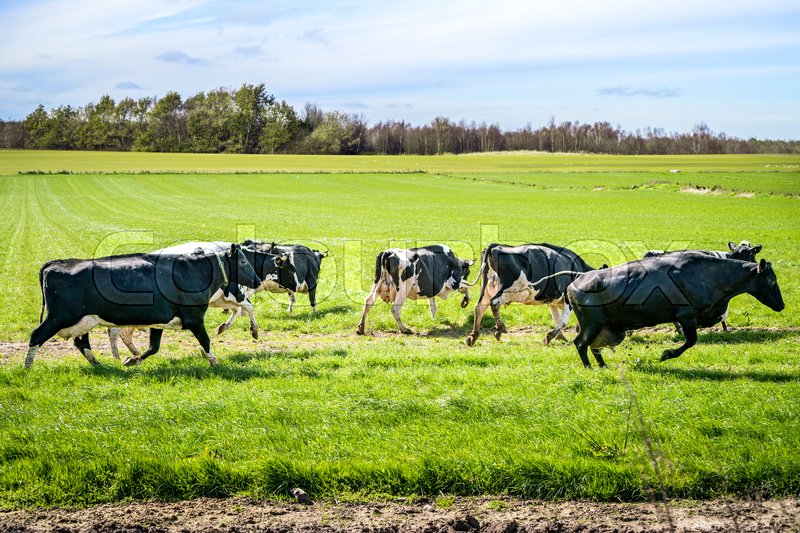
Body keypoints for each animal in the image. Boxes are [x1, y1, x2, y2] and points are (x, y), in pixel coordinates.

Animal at [26, 244, 262, 368]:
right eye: (243, 261)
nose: (258, 280)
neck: (195, 270)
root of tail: (58, 262)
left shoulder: (159, 322)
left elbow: (153, 347)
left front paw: (133, 359)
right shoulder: (194, 318)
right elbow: (205, 341)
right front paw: (214, 361)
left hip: (83, 320)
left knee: (81, 342)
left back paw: (100, 366)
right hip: (60, 316)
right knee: (37, 336)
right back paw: (27, 368)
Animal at [107, 241, 292, 359]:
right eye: (290, 269)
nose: (296, 287)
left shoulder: (222, 298)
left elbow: (236, 310)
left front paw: (223, 327)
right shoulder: (235, 293)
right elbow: (249, 307)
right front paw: (254, 330)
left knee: (123, 332)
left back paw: (132, 354)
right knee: (115, 331)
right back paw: (117, 357)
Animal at [465, 243, 600, 347]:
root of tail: (495, 246)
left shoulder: (552, 301)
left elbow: (557, 319)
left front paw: (560, 337)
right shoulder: (567, 300)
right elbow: (563, 322)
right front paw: (549, 337)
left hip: (486, 289)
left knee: (479, 307)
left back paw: (473, 337)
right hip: (509, 290)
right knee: (494, 303)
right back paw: (499, 329)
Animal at [567, 252, 784, 368]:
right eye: (772, 280)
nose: (782, 305)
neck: (712, 276)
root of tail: (578, 280)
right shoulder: (686, 317)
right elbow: (690, 341)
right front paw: (667, 354)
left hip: (603, 327)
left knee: (593, 347)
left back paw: (603, 366)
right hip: (592, 324)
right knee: (580, 343)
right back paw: (589, 367)